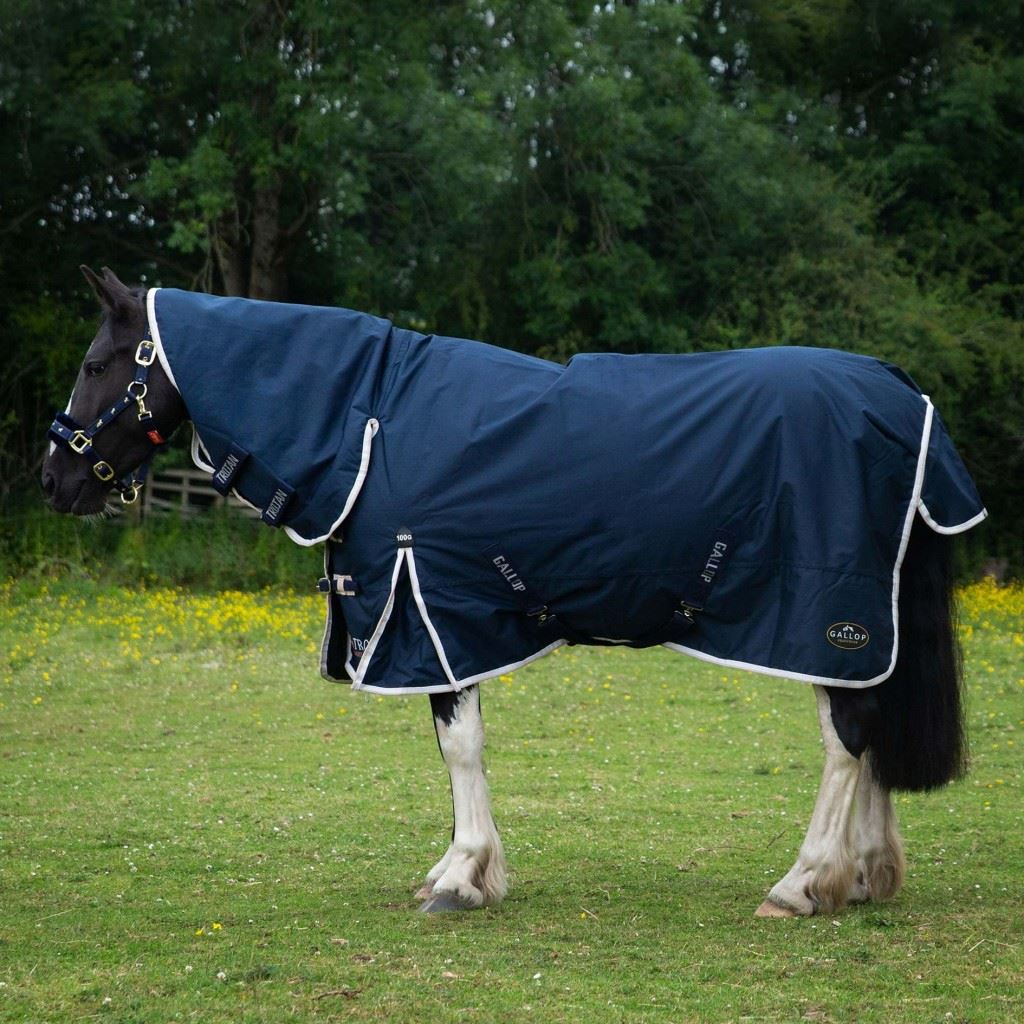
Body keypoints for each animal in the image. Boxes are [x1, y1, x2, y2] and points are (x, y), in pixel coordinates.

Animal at [41, 266, 987, 917]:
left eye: (97, 363)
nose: (55, 480)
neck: (369, 422)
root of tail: (900, 390)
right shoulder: (439, 614)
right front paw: (464, 870)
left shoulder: (427, 613)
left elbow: (460, 746)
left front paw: (461, 877)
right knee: (875, 728)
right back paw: (862, 878)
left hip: (829, 620)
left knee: (849, 737)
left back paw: (803, 883)